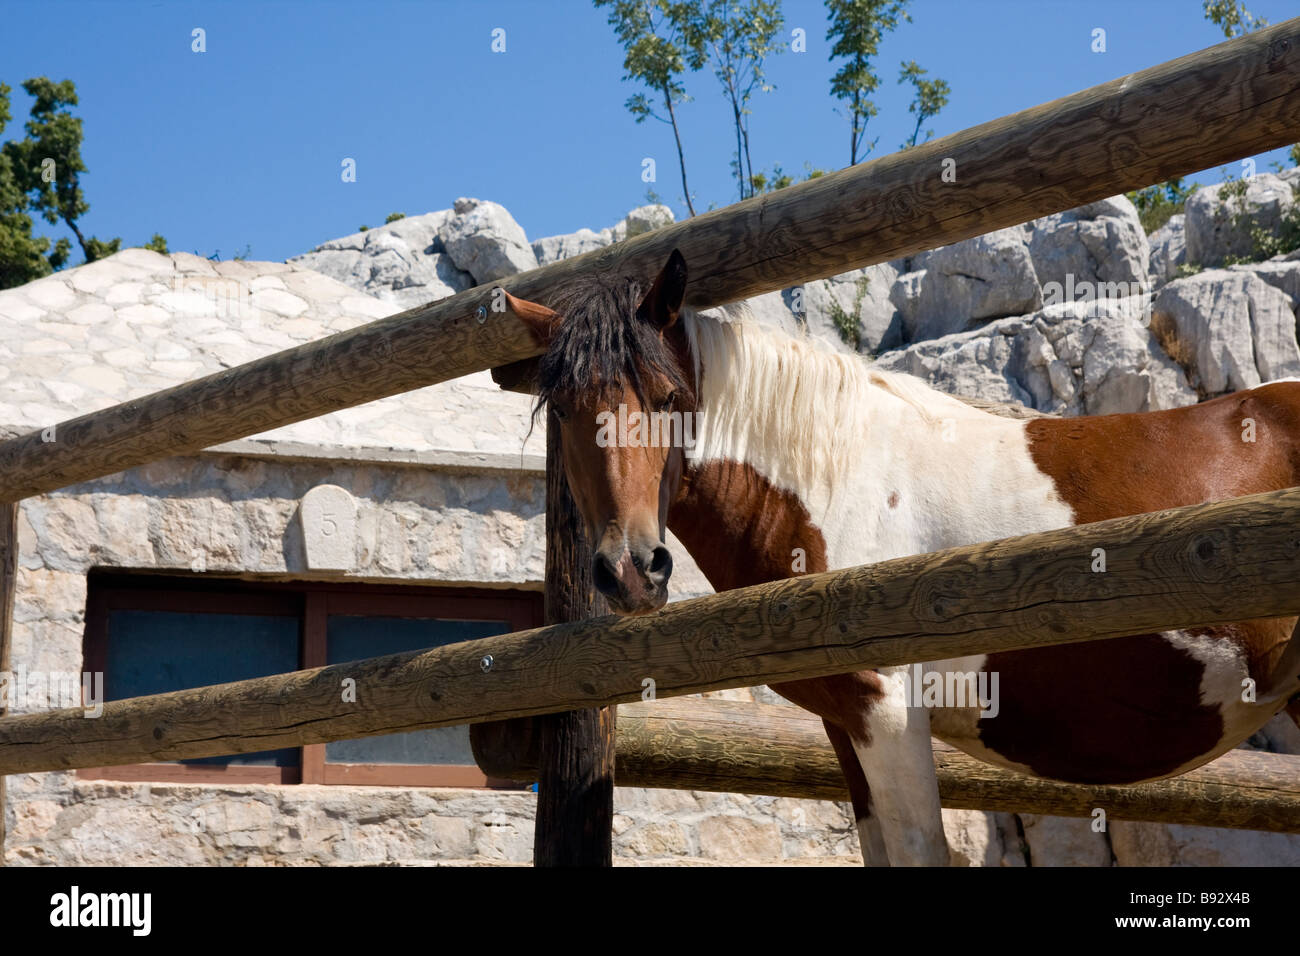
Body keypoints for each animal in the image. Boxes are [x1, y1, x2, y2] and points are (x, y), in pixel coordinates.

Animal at [500, 248, 1300, 866]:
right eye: (564, 408)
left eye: (668, 397)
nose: (632, 569)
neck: (837, 478)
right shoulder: (847, 725)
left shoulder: (888, 714)